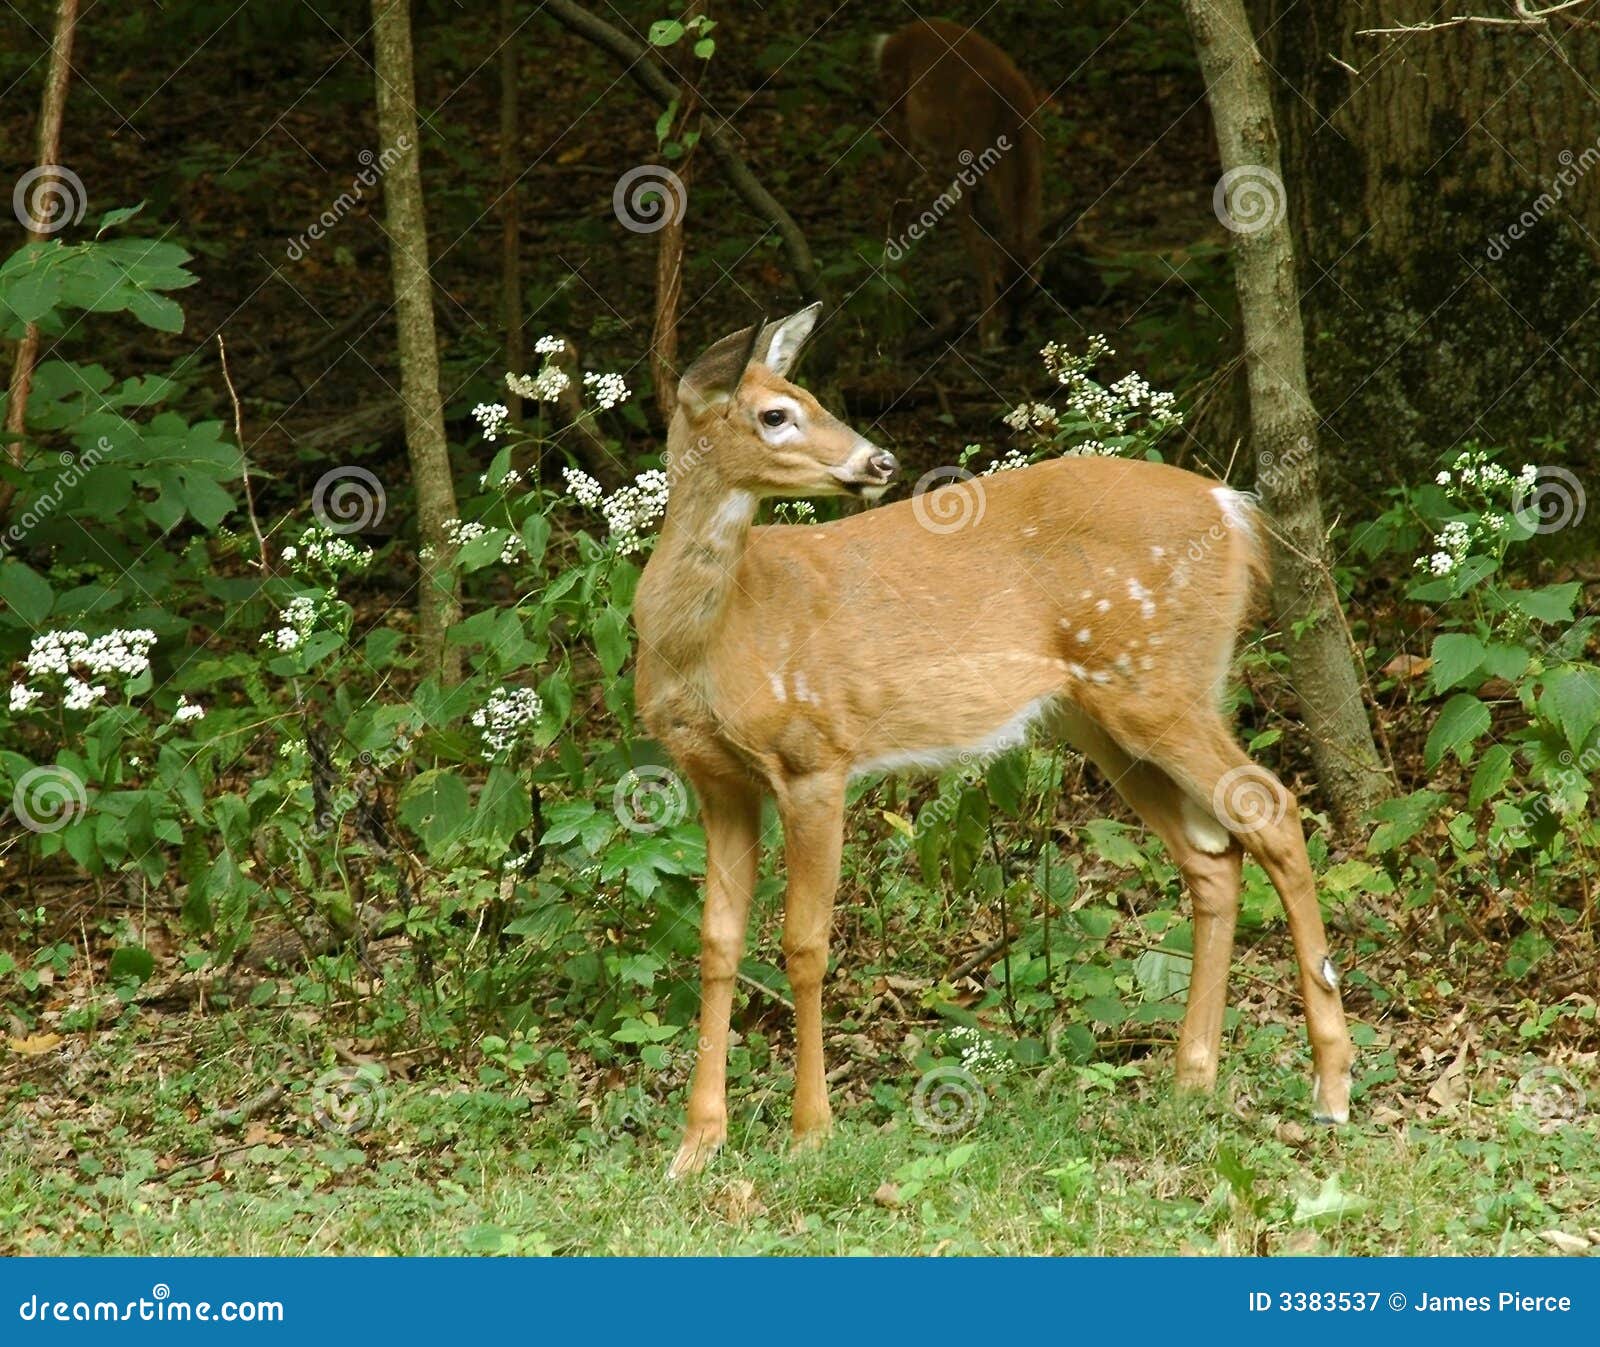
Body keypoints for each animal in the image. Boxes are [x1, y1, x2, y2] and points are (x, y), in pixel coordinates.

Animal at [633, 305, 1354, 1179]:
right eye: (775, 412)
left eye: (808, 397)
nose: (879, 459)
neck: (710, 639)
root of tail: (1231, 506)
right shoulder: (715, 778)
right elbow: (715, 943)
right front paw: (696, 1144)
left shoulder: (815, 753)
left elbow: (803, 944)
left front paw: (811, 1133)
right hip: (1103, 712)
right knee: (1213, 855)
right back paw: (1192, 1080)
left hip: (1157, 681)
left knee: (1271, 807)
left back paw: (1331, 1085)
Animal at [875, 18, 1047, 350]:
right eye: (999, 283)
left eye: (1034, 288)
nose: (1014, 332)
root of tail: (892, 39)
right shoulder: (966, 161)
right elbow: (976, 240)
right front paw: (988, 332)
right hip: (900, 117)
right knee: (894, 197)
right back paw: (900, 304)